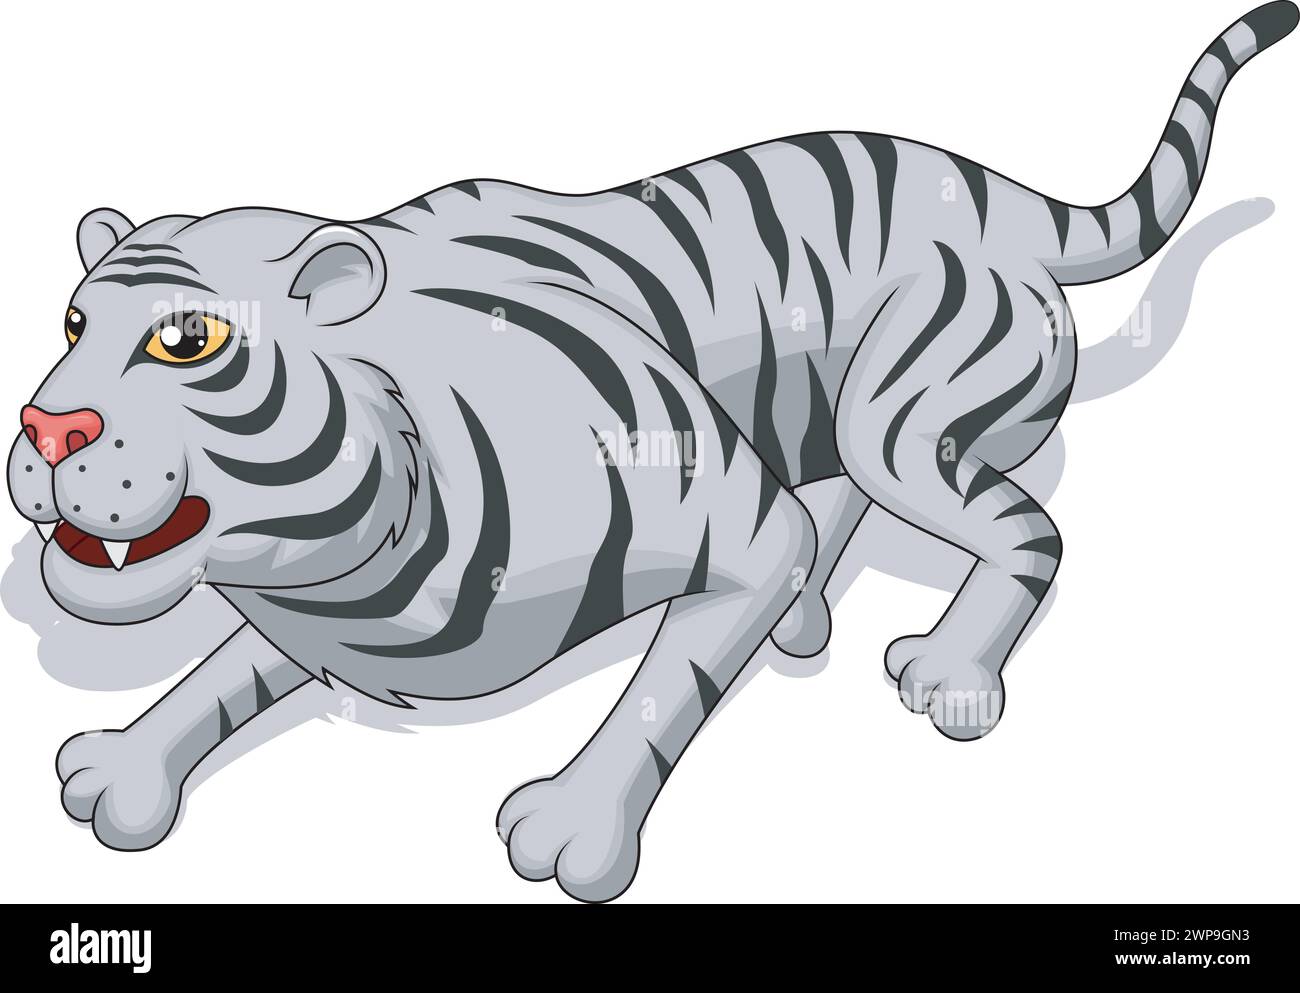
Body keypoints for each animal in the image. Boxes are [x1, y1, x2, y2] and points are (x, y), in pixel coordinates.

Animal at [7, 2, 1294, 902]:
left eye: (186, 339)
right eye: (69, 325)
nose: (43, 429)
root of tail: (994, 192)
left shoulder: (734, 526)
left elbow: (664, 690)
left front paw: (572, 831)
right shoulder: (323, 610)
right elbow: (220, 670)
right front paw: (122, 772)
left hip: (897, 423)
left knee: (1023, 527)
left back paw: (950, 676)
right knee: (845, 507)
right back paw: (809, 623)